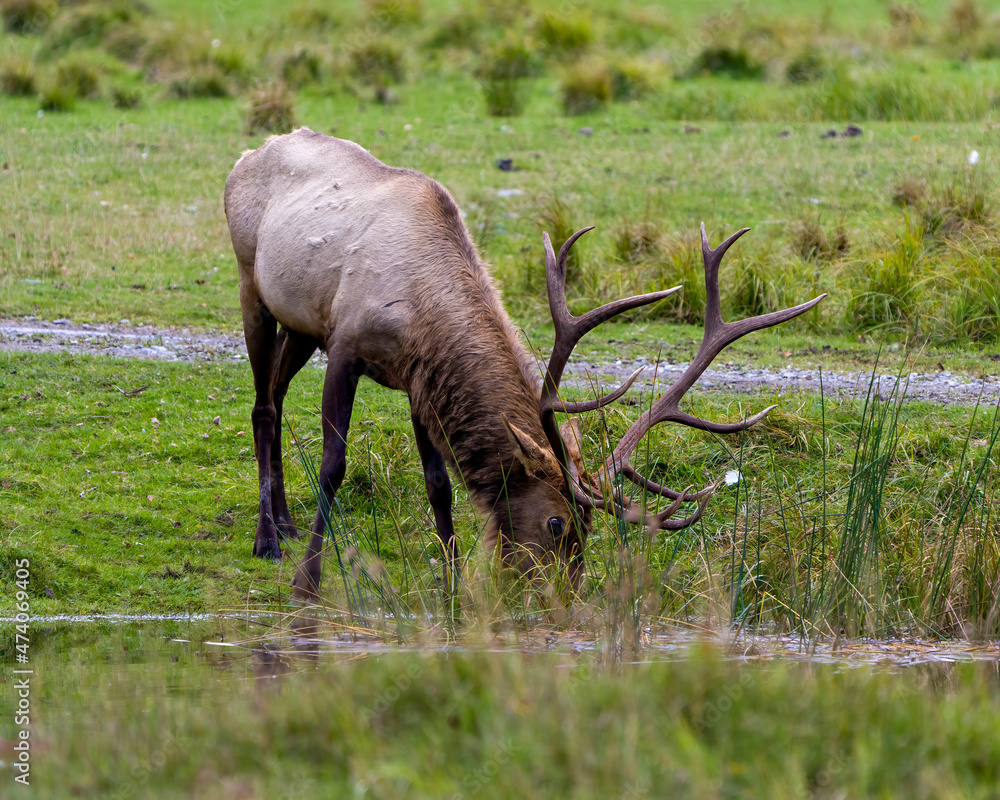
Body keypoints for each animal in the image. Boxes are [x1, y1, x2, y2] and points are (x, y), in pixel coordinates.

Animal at [224, 127, 825, 599]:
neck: (420, 309)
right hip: (252, 284)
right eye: (557, 522)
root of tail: (250, 152)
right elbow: (333, 466)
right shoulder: (346, 344)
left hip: (301, 324)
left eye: (588, 528)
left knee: (276, 394)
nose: (564, 594)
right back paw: (267, 539)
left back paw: (284, 520)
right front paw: (308, 584)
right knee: (262, 405)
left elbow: (438, 484)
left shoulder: (418, 378)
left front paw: (453, 586)